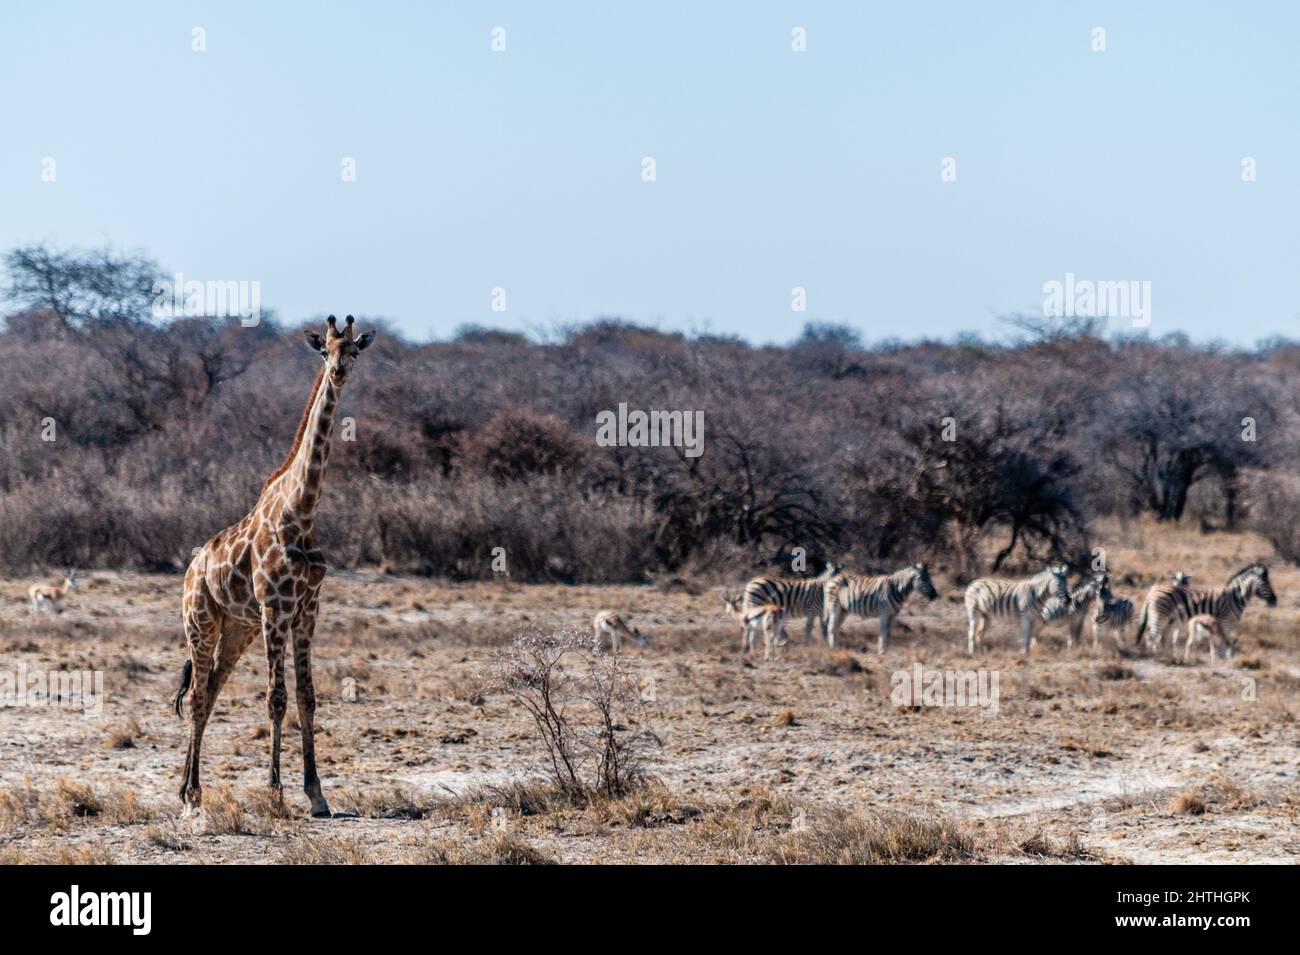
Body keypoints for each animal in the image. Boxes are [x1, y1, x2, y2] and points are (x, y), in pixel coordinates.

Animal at [174, 314, 374, 818]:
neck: (301, 513)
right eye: (323, 349)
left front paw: (316, 794)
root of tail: (190, 571)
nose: (338, 373)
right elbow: (276, 699)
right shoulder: (275, 609)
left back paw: (186, 790)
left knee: (209, 693)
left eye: (353, 350)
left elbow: (307, 698)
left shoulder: (307, 611)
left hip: (236, 629)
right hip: (201, 622)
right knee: (199, 694)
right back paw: (192, 796)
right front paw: (275, 791)